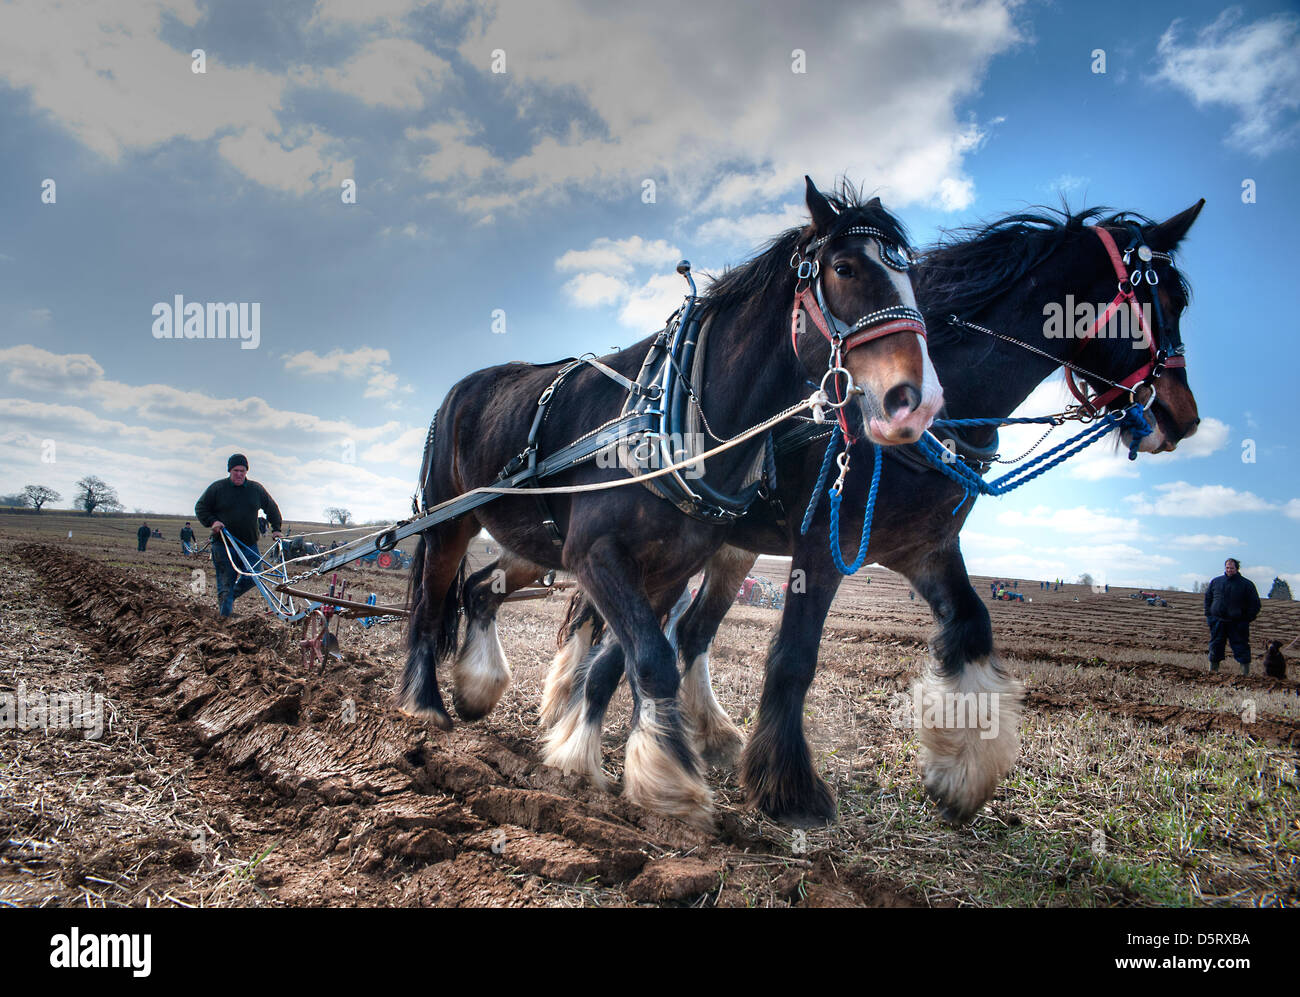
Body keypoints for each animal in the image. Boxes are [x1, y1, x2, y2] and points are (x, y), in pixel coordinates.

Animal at [403, 178, 943, 827]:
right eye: (844, 268)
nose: (918, 399)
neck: (673, 417)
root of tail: (457, 391)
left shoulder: (668, 569)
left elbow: (623, 660)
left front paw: (584, 754)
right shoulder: (594, 555)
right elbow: (653, 658)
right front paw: (669, 778)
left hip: (527, 541)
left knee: (480, 590)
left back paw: (477, 687)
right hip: (448, 520)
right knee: (430, 602)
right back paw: (424, 705)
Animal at [542, 201, 1205, 825]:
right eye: (1161, 299)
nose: (1183, 416)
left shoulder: (924, 546)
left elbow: (971, 626)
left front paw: (961, 772)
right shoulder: (821, 543)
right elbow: (793, 657)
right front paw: (788, 787)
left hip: (729, 550)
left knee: (685, 632)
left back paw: (696, 735)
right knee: (638, 632)